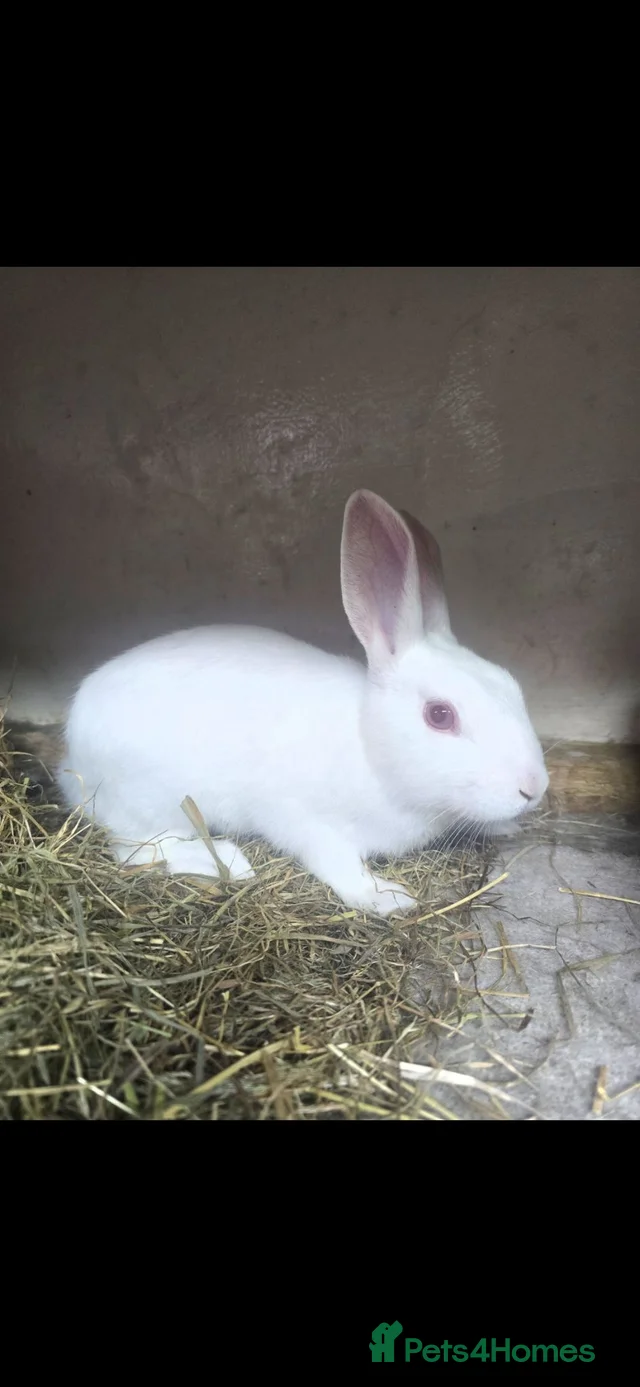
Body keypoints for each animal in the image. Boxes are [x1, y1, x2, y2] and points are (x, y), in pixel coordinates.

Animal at [59, 489, 549, 917]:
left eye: (511, 685)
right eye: (440, 715)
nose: (534, 789)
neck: (371, 749)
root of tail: (72, 757)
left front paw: (508, 824)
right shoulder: (305, 821)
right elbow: (338, 864)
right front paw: (388, 898)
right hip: (152, 801)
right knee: (138, 849)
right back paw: (230, 863)